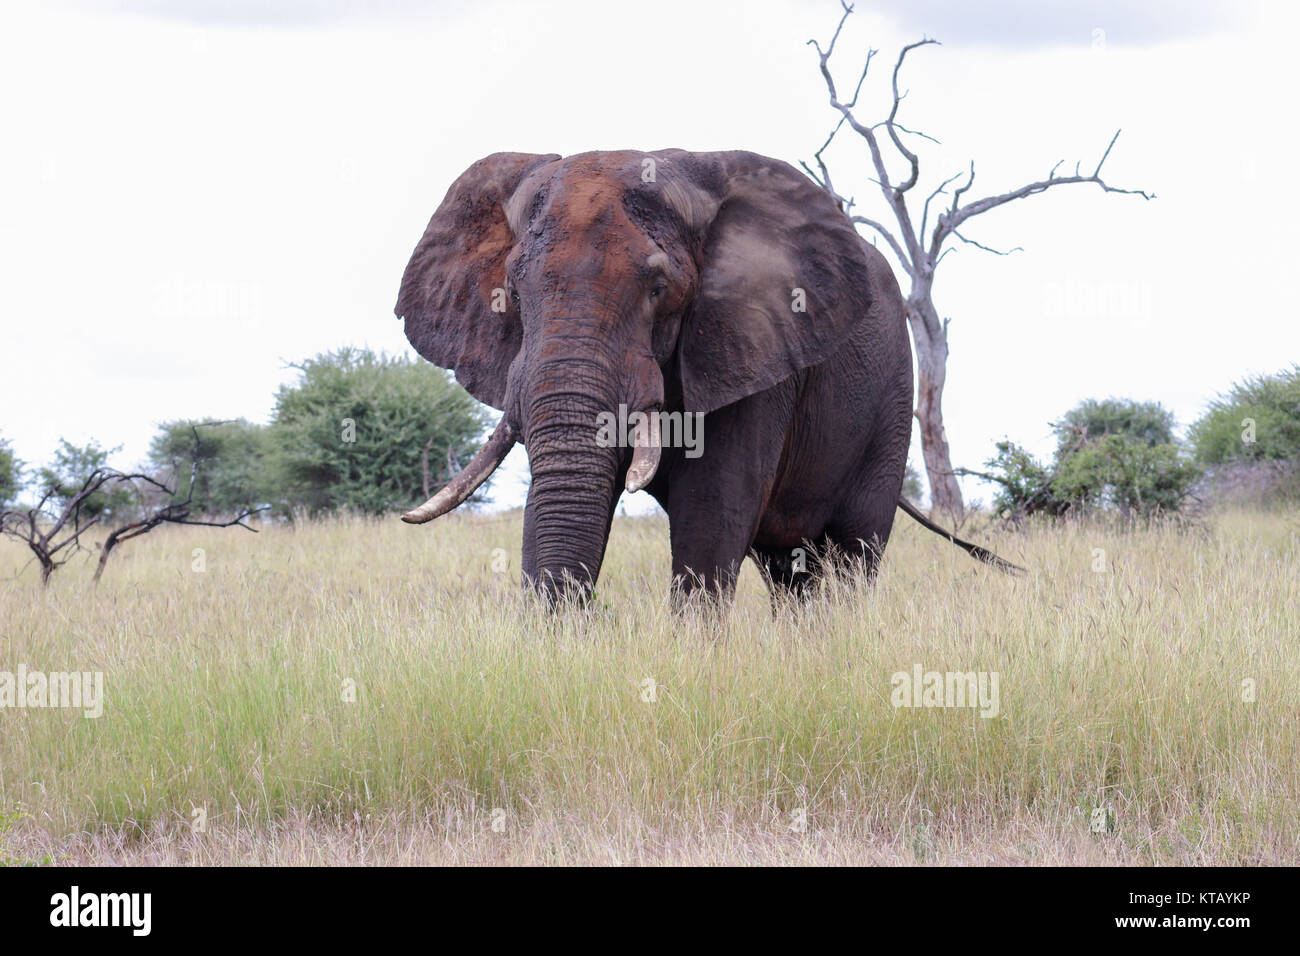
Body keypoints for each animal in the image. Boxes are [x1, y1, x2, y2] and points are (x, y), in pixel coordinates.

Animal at [395, 149, 1019, 604]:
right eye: (513, 293)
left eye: (659, 290)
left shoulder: (753, 345)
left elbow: (713, 511)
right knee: (790, 571)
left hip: (892, 392)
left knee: (853, 551)